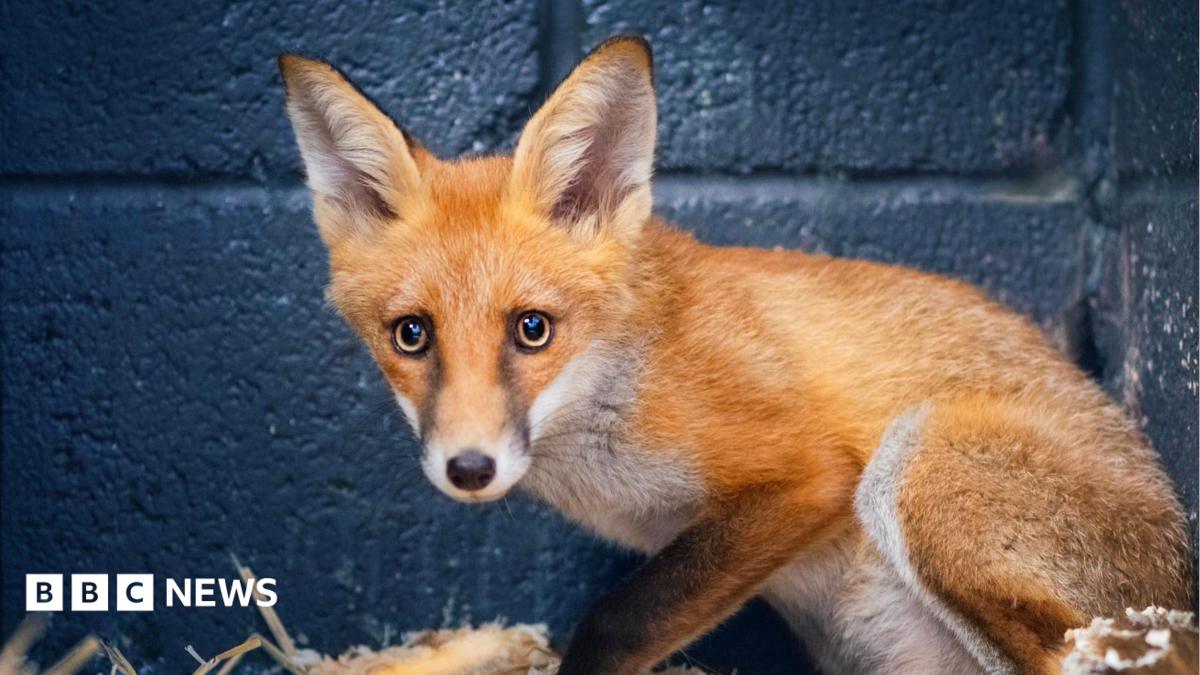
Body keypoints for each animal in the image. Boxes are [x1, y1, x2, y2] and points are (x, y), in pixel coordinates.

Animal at [277, 37, 1192, 674]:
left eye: (532, 328)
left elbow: (616, 618)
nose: (469, 467)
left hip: (918, 462)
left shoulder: (805, 474)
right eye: (412, 334)